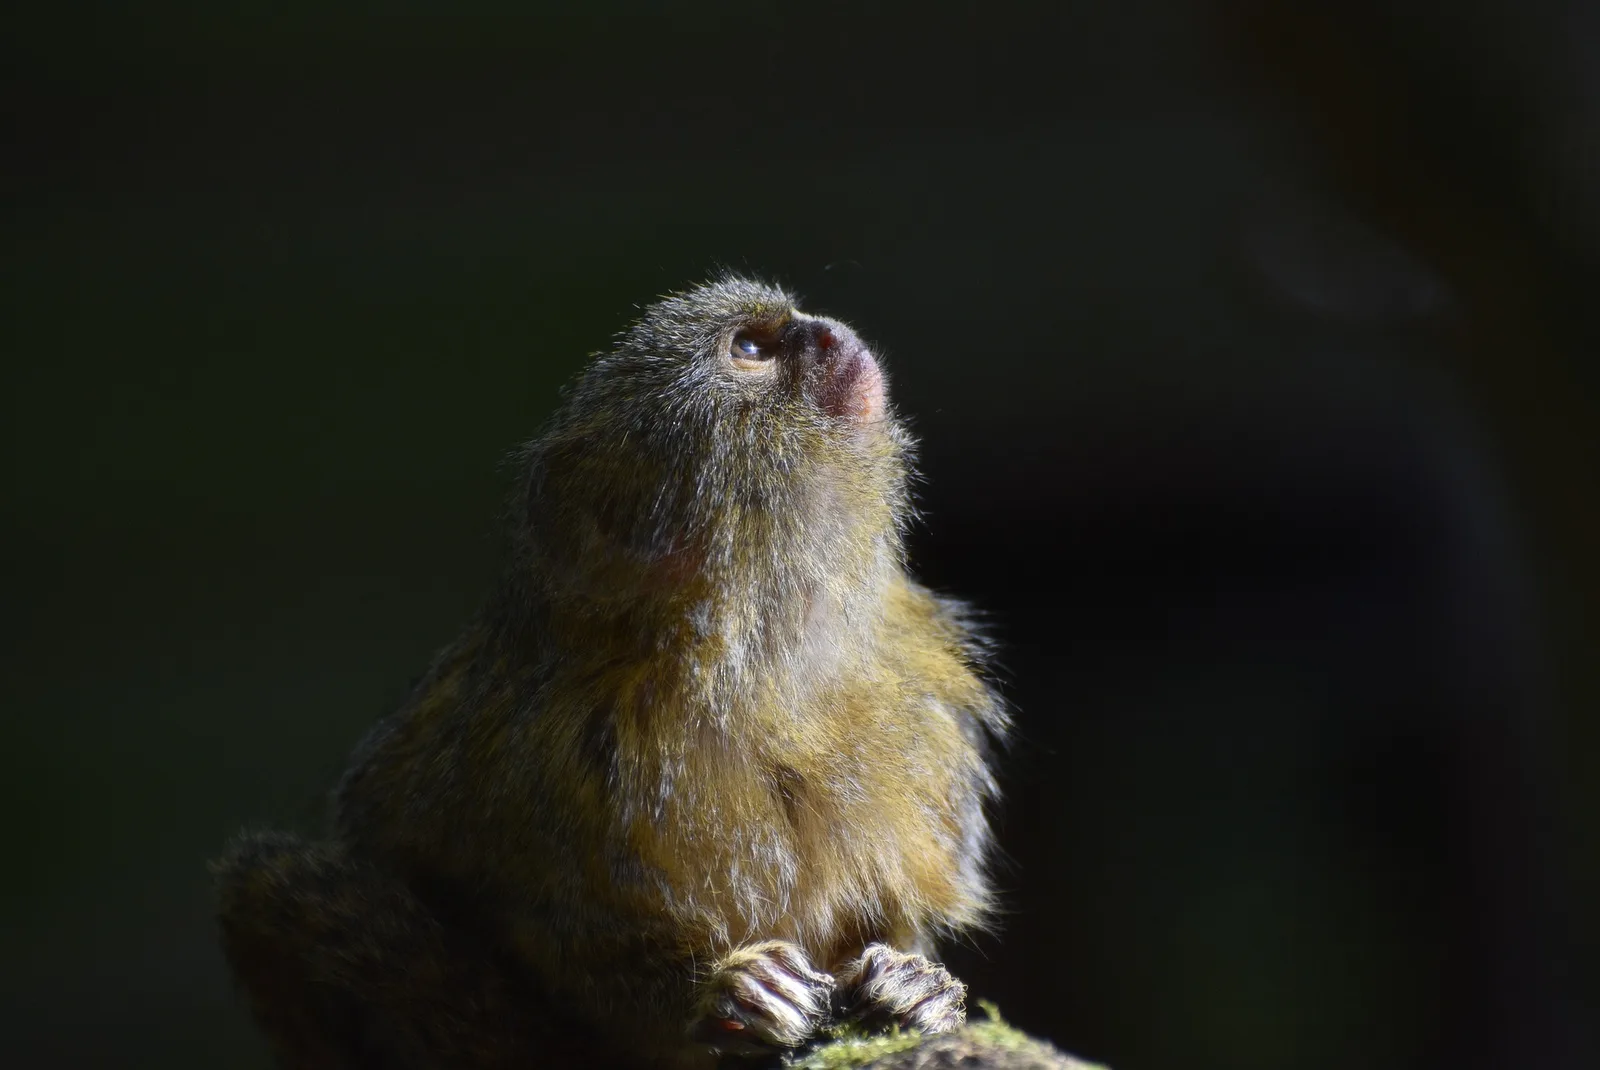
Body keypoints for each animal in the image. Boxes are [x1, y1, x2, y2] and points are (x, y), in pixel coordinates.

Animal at [213, 276, 1010, 1069]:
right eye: (751, 349)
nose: (826, 331)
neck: (766, 647)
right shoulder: (541, 743)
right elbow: (541, 924)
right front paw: (720, 996)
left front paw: (913, 985)